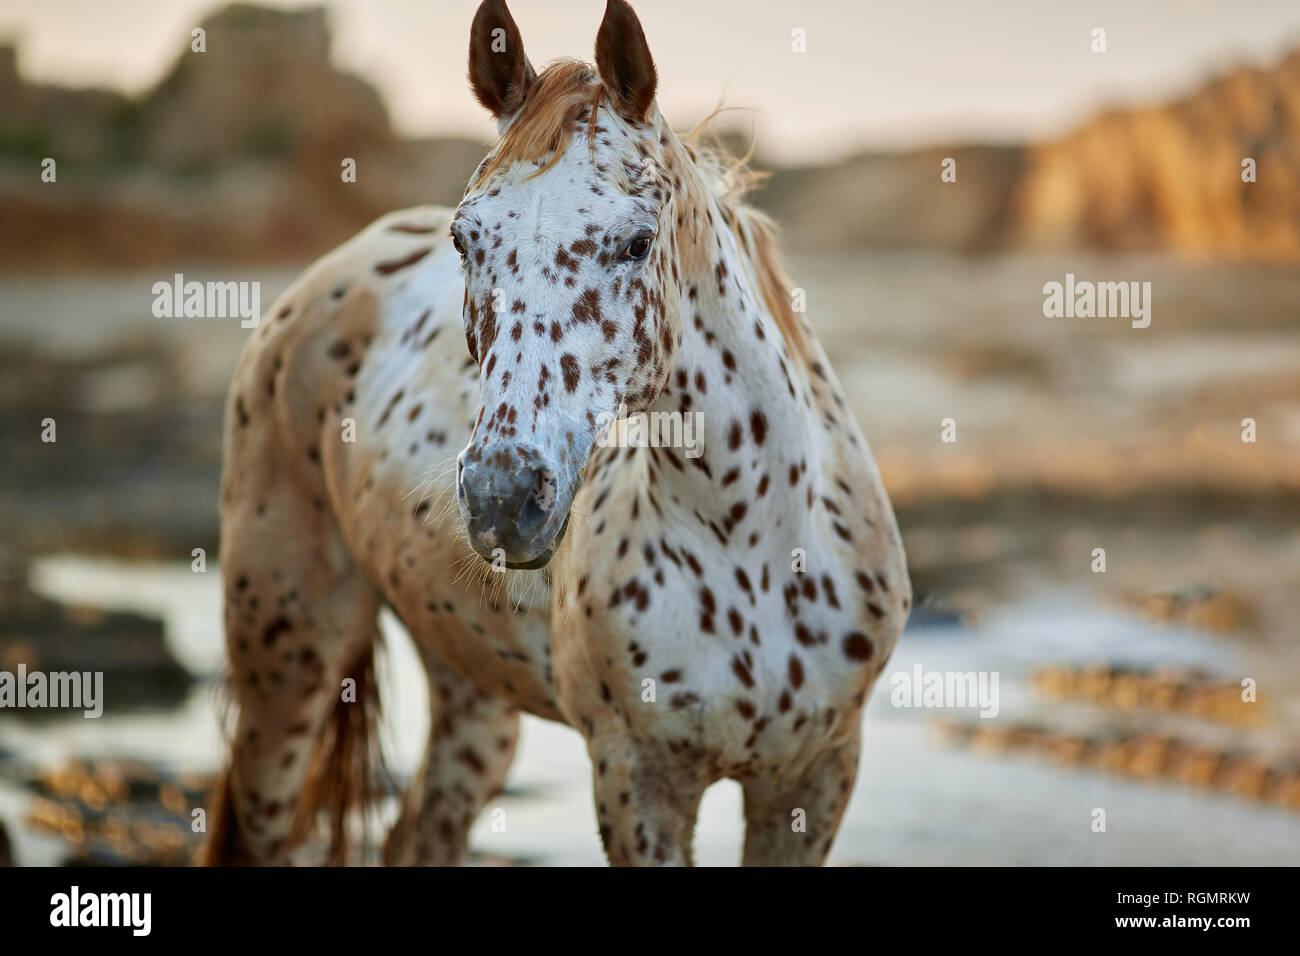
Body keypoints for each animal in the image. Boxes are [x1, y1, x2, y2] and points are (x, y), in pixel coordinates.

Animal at [202, 0, 909, 867]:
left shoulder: (814, 776)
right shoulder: (636, 779)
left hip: (470, 697)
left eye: (637, 241)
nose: (503, 501)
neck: (754, 545)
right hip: (288, 659)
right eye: (466, 239)